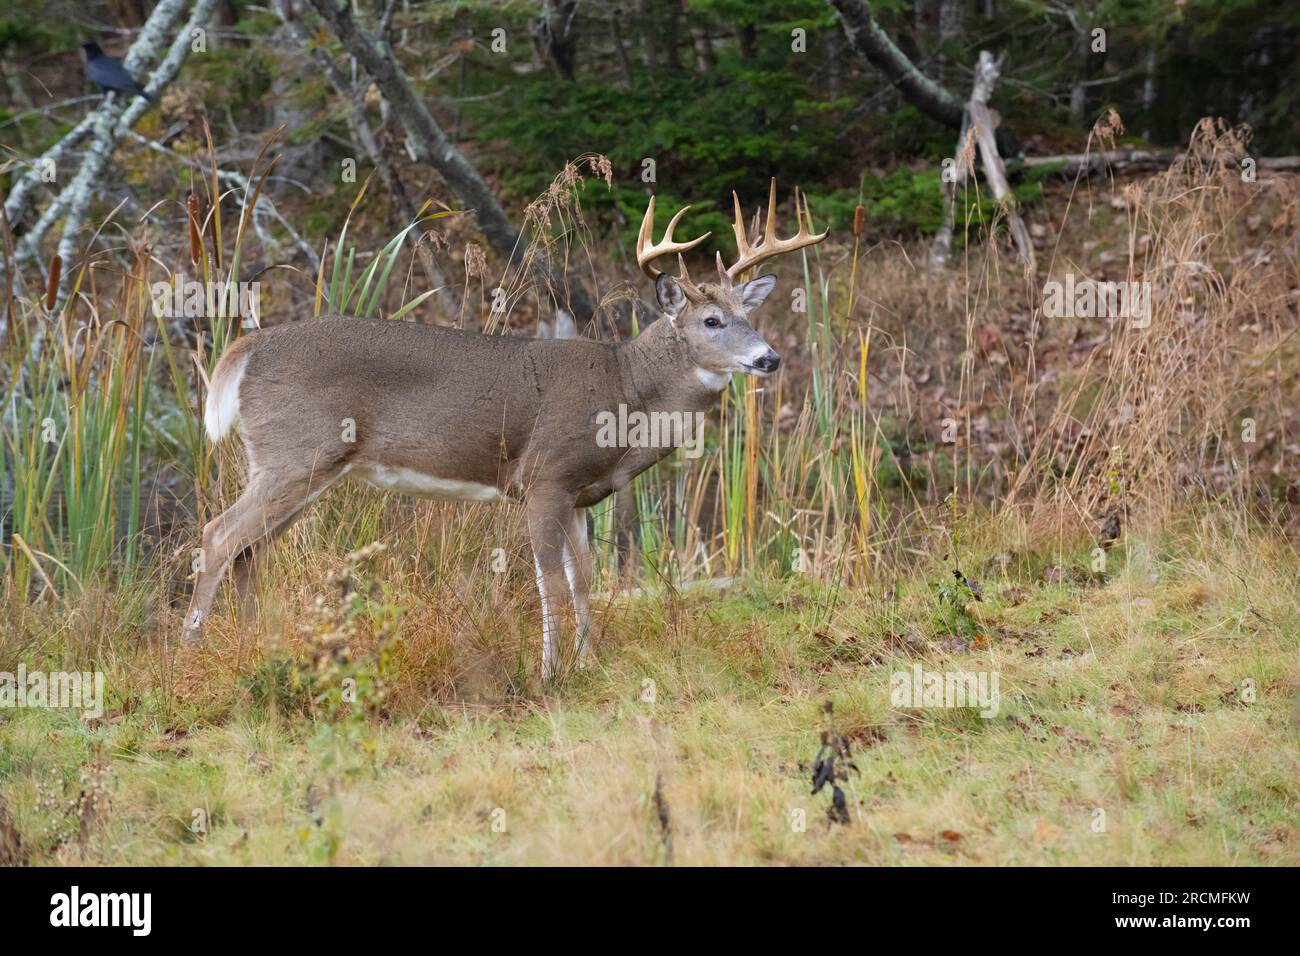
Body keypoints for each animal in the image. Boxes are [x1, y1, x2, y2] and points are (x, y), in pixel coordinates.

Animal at [183, 179, 827, 679]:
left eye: (748, 315)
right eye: (712, 320)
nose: (769, 358)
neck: (625, 389)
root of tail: (246, 349)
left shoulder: (580, 496)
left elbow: (586, 580)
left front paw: (587, 664)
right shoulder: (543, 477)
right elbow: (551, 585)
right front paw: (548, 672)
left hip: (299, 465)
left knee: (247, 550)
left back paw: (257, 651)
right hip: (295, 453)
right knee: (217, 536)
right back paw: (188, 654)